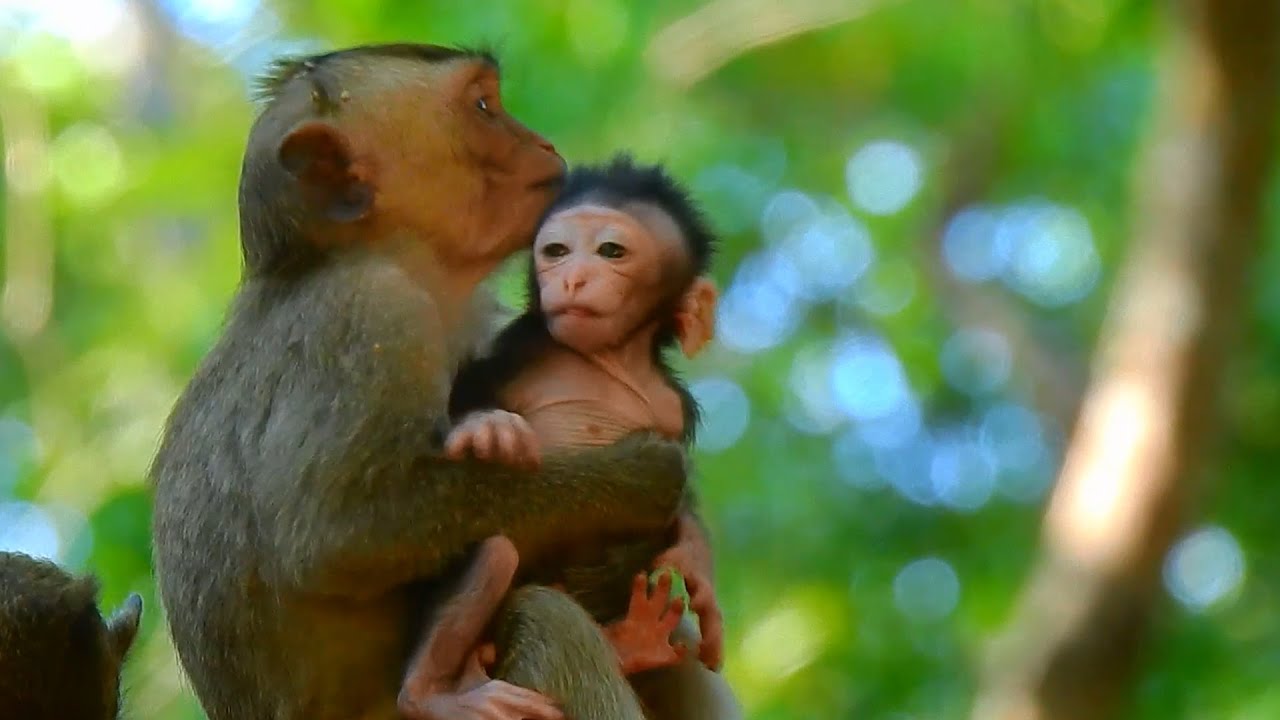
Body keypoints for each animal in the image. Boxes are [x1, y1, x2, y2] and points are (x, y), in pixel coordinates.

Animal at [148, 44, 699, 720]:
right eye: (484, 107)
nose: (541, 142)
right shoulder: (368, 315)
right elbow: (337, 535)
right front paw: (642, 479)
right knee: (541, 613)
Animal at [400, 155, 742, 720]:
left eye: (611, 251)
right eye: (556, 251)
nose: (574, 278)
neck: (606, 359)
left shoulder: (670, 401)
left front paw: (696, 564)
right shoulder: (523, 349)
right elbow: (463, 398)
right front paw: (487, 428)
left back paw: (632, 644)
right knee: (498, 552)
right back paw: (427, 692)